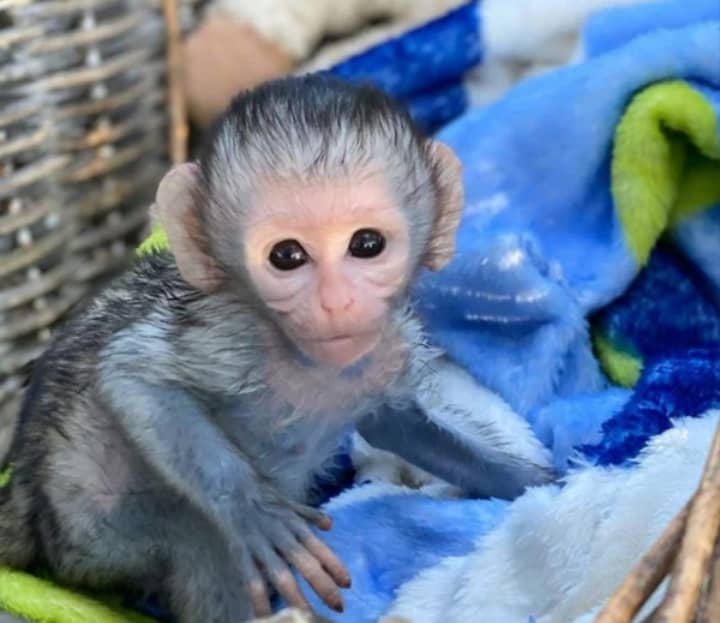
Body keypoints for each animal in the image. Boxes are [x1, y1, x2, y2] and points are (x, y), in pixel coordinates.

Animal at [0, 75, 552, 623]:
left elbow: (400, 427)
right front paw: (254, 511)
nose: (336, 302)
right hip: (94, 524)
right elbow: (132, 375)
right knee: (198, 538)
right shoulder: (231, 336)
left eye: (366, 244)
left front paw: (536, 480)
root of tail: (26, 492)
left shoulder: (386, 353)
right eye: (287, 255)